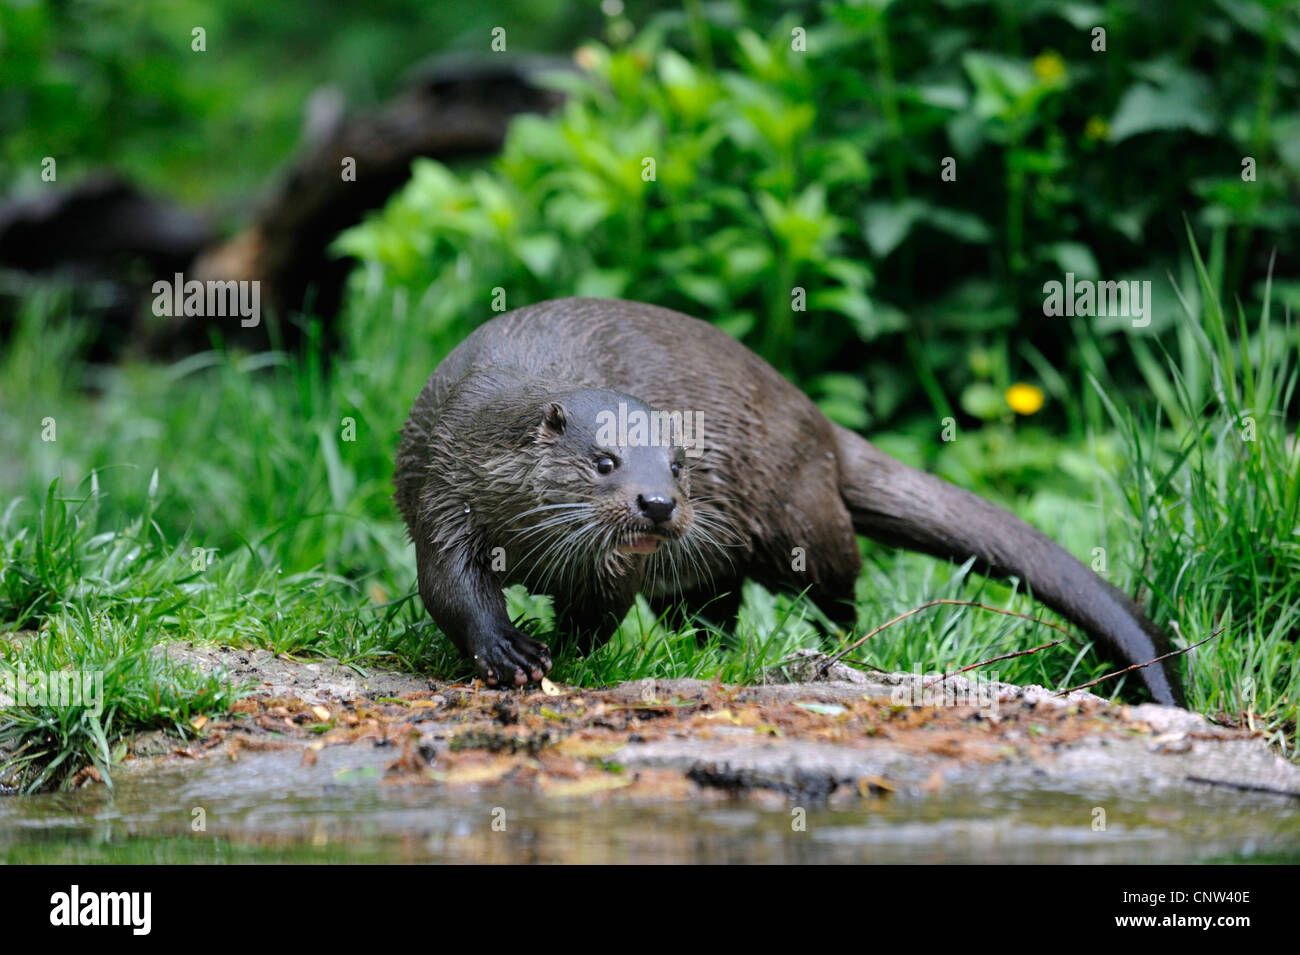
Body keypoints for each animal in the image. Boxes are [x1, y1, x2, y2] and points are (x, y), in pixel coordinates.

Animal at [395, 297, 1184, 706]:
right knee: (714, 603)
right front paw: (507, 648)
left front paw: (559, 651)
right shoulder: (442, 491)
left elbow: (599, 610)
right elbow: (450, 585)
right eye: (604, 461)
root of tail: (816, 422)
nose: (658, 503)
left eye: (678, 463)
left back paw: (839, 648)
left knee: (839, 589)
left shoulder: (609, 565)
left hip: (802, 518)